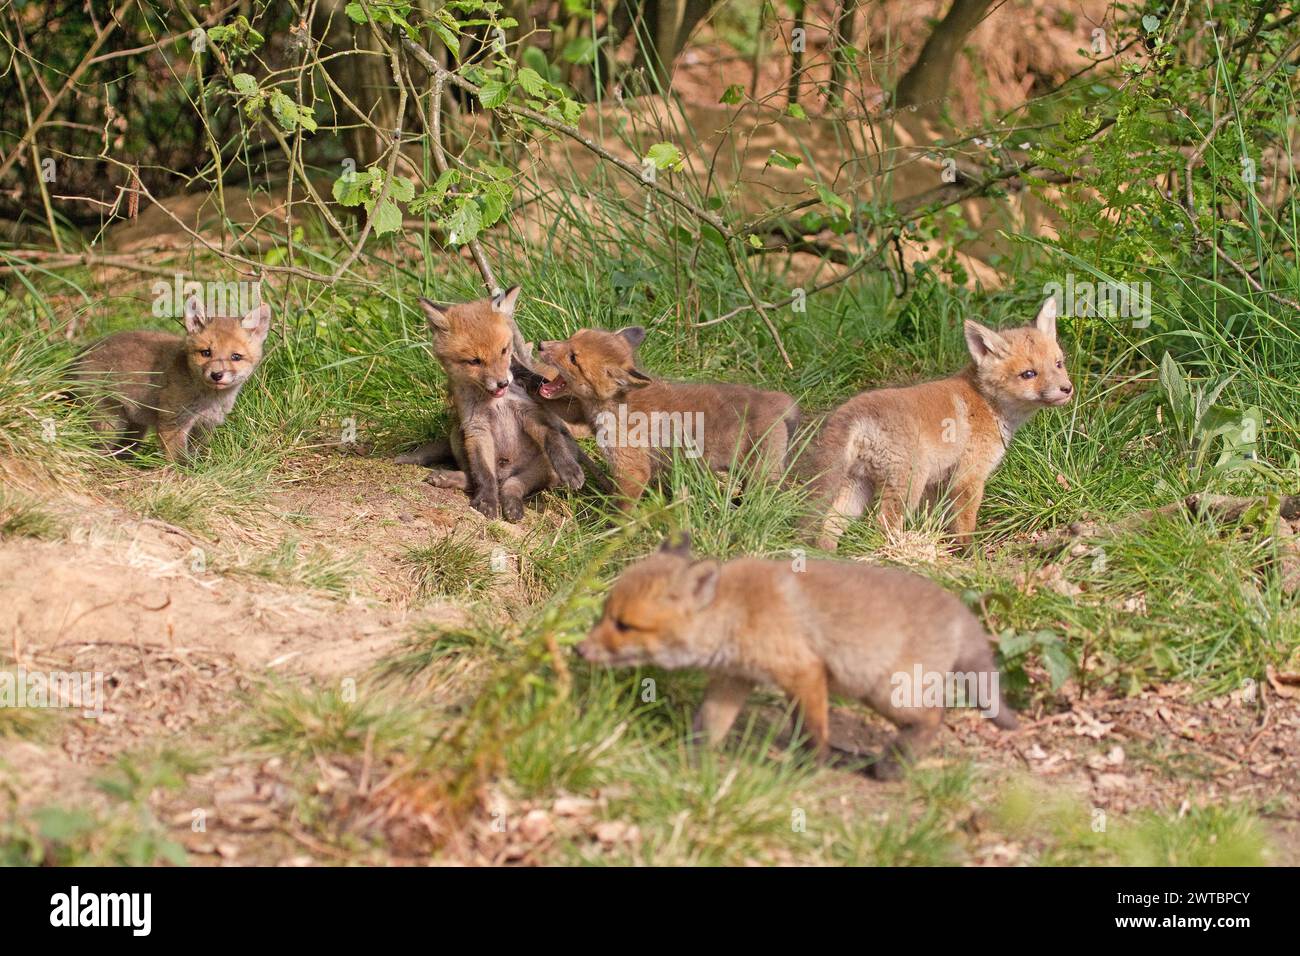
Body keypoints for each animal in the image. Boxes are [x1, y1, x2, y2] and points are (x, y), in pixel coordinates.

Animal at [69, 295, 272, 462]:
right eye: (206, 353)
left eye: (236, 357)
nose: (216, 375)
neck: (209, 400)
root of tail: (82, 353)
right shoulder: (173, 422)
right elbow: (179, 459)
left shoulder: (204, 426)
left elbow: (196, 454)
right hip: (109, 422)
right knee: (94, 447)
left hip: (135, 426)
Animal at [413, 287, 599, 521]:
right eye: (474, 361)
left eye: (503, 350)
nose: (503, 382)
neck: (495, 401)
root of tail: (505, 471)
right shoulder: (476, 428)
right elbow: (483, 474)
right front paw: (487, 501)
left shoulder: (530, 413)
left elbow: (553, 440)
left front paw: (569, 469)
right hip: (458, 434)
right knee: (480, 479)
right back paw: (450, 479)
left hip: (542, 468)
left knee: (513, 485)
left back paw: (512, 504)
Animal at [532, 327, 800, 507]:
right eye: (572, 336)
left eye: (573, 358)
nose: (541, 345)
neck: (616, 405)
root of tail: (774, 400)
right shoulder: (582, 415)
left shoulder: (633, 470)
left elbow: (622, 513)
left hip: (760, 475)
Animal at [577, 535, 1018, 779]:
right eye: (604, 614)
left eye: (624, 625)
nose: (578, 649)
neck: (737, 612)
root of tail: (961, 610)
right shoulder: (733, 679)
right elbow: (707, 727)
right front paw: (689, 759)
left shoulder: (805, 673)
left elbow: (812, 733)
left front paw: (808, 771)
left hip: (886, 692)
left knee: (933, 718)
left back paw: (890, 769)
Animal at [803, 298, 1072, 550]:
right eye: (1029, 374)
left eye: (1058, 364)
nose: (1067, 389)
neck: (986, 402)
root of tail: (855, 411)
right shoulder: (968, 477)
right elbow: (964, 525)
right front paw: (970, 554)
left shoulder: (938, 484)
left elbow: (939, 521)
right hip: (908, 485)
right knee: (882, 527)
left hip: (858, 487)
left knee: (830, 524)